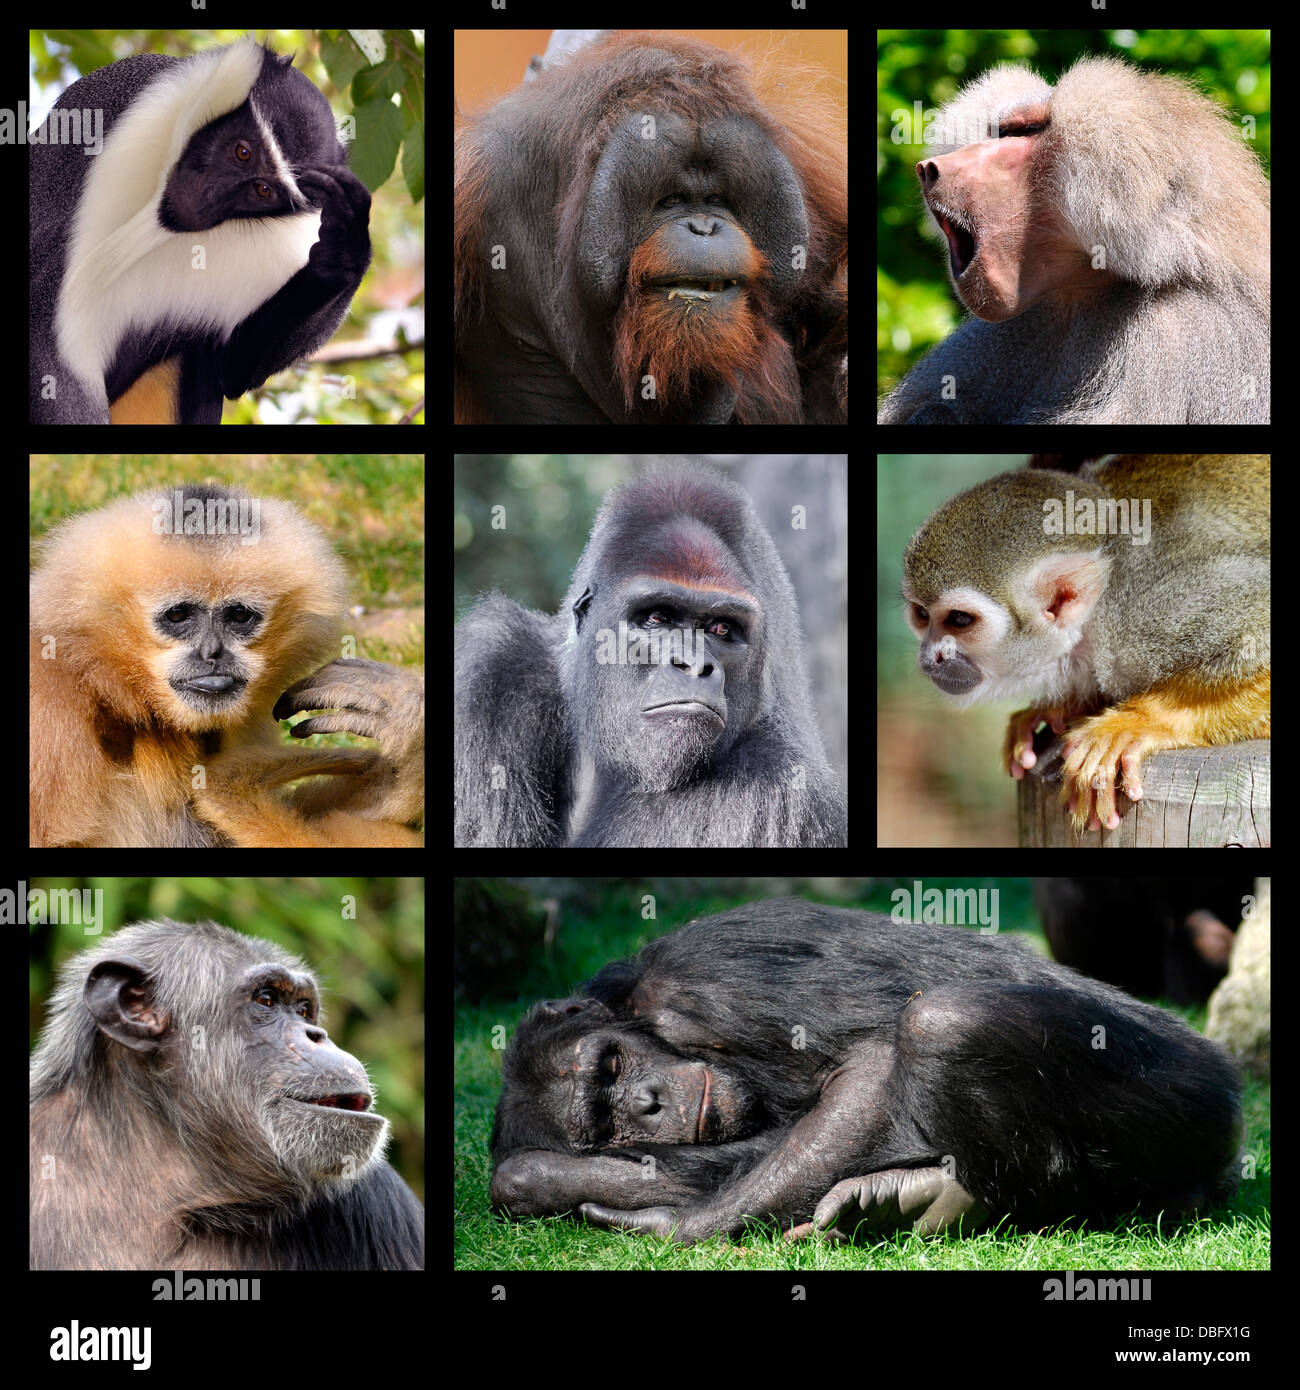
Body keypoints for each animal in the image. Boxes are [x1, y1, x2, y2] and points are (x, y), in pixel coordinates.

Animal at [30, 39, 371, 424]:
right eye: (242, 152)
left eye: (263, 191)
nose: (208, 199)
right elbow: (48, 331)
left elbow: (235, 367)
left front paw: (343, 249)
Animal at [902, 457, 1271, 832]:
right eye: (921, 615)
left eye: (960, 620)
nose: (929, 657)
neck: (1095, 616)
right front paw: (1062, 706)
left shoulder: (1148, 614)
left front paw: (1141, 721)